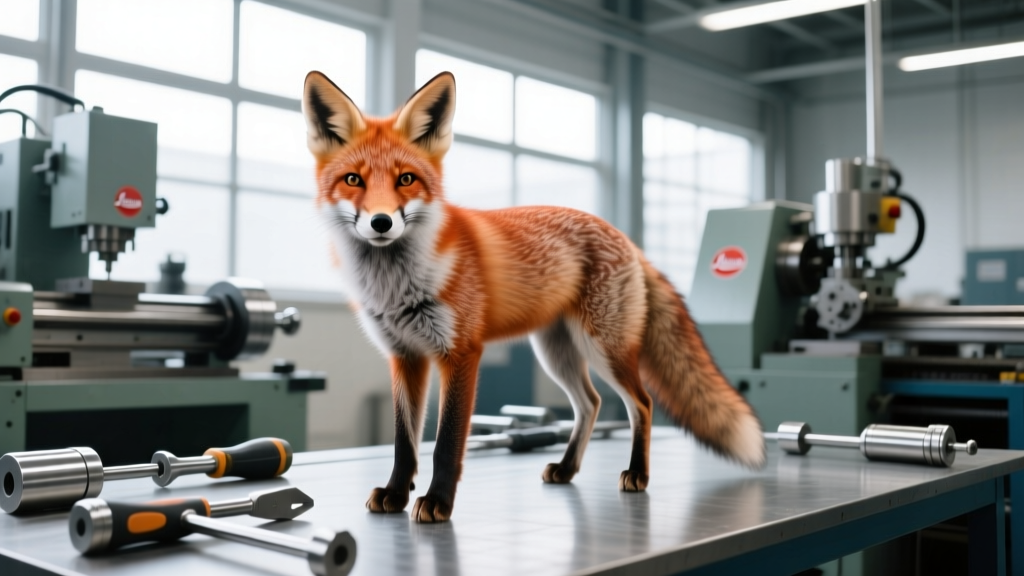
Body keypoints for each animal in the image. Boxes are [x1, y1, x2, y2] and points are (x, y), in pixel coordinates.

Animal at [301, 70, 765, 523]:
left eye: (406, 179)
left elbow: (446, 443)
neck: (396, 284)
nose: (381, 223)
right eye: (353, 180)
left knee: (641, 403)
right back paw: (567, 468)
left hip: (604, 348)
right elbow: (404, 442)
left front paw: (438, 502)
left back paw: (638, 473)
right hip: (556, 353)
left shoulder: (461, 353)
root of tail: (627, 240)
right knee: (591, 403)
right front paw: (396, 493)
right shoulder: (405, 357)